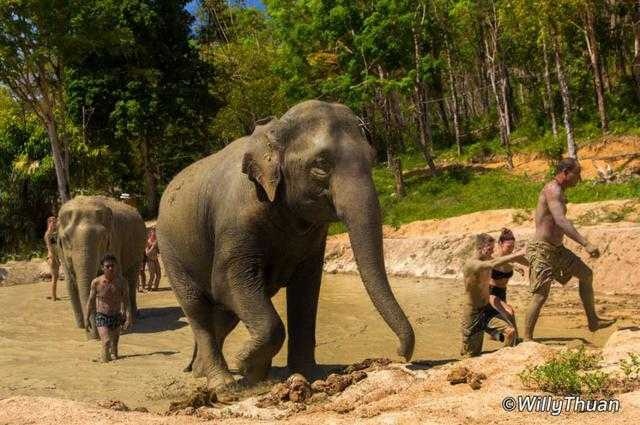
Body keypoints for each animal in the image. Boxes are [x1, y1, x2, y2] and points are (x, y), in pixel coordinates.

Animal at [57, 195, 146, 338]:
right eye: (66, 239)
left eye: (102, 238)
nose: (91, 334)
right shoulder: (61, 253)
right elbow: (70, 283)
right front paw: (81, 326)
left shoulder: (114, 240)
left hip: (138, 249)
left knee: (131, 280)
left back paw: (131, 319)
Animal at [156, 100, 415, 390]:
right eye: (321, 165)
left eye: (372, 159)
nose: (401, 354)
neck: (275, 129)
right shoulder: (235, 222)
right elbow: (226, 283)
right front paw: (246, 365)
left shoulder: (313, 236)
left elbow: (306, 289)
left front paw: (303, 375)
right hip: (171, 252)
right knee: (198, 308)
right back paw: (223, 384)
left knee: (224, 315)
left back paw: (202, 372)